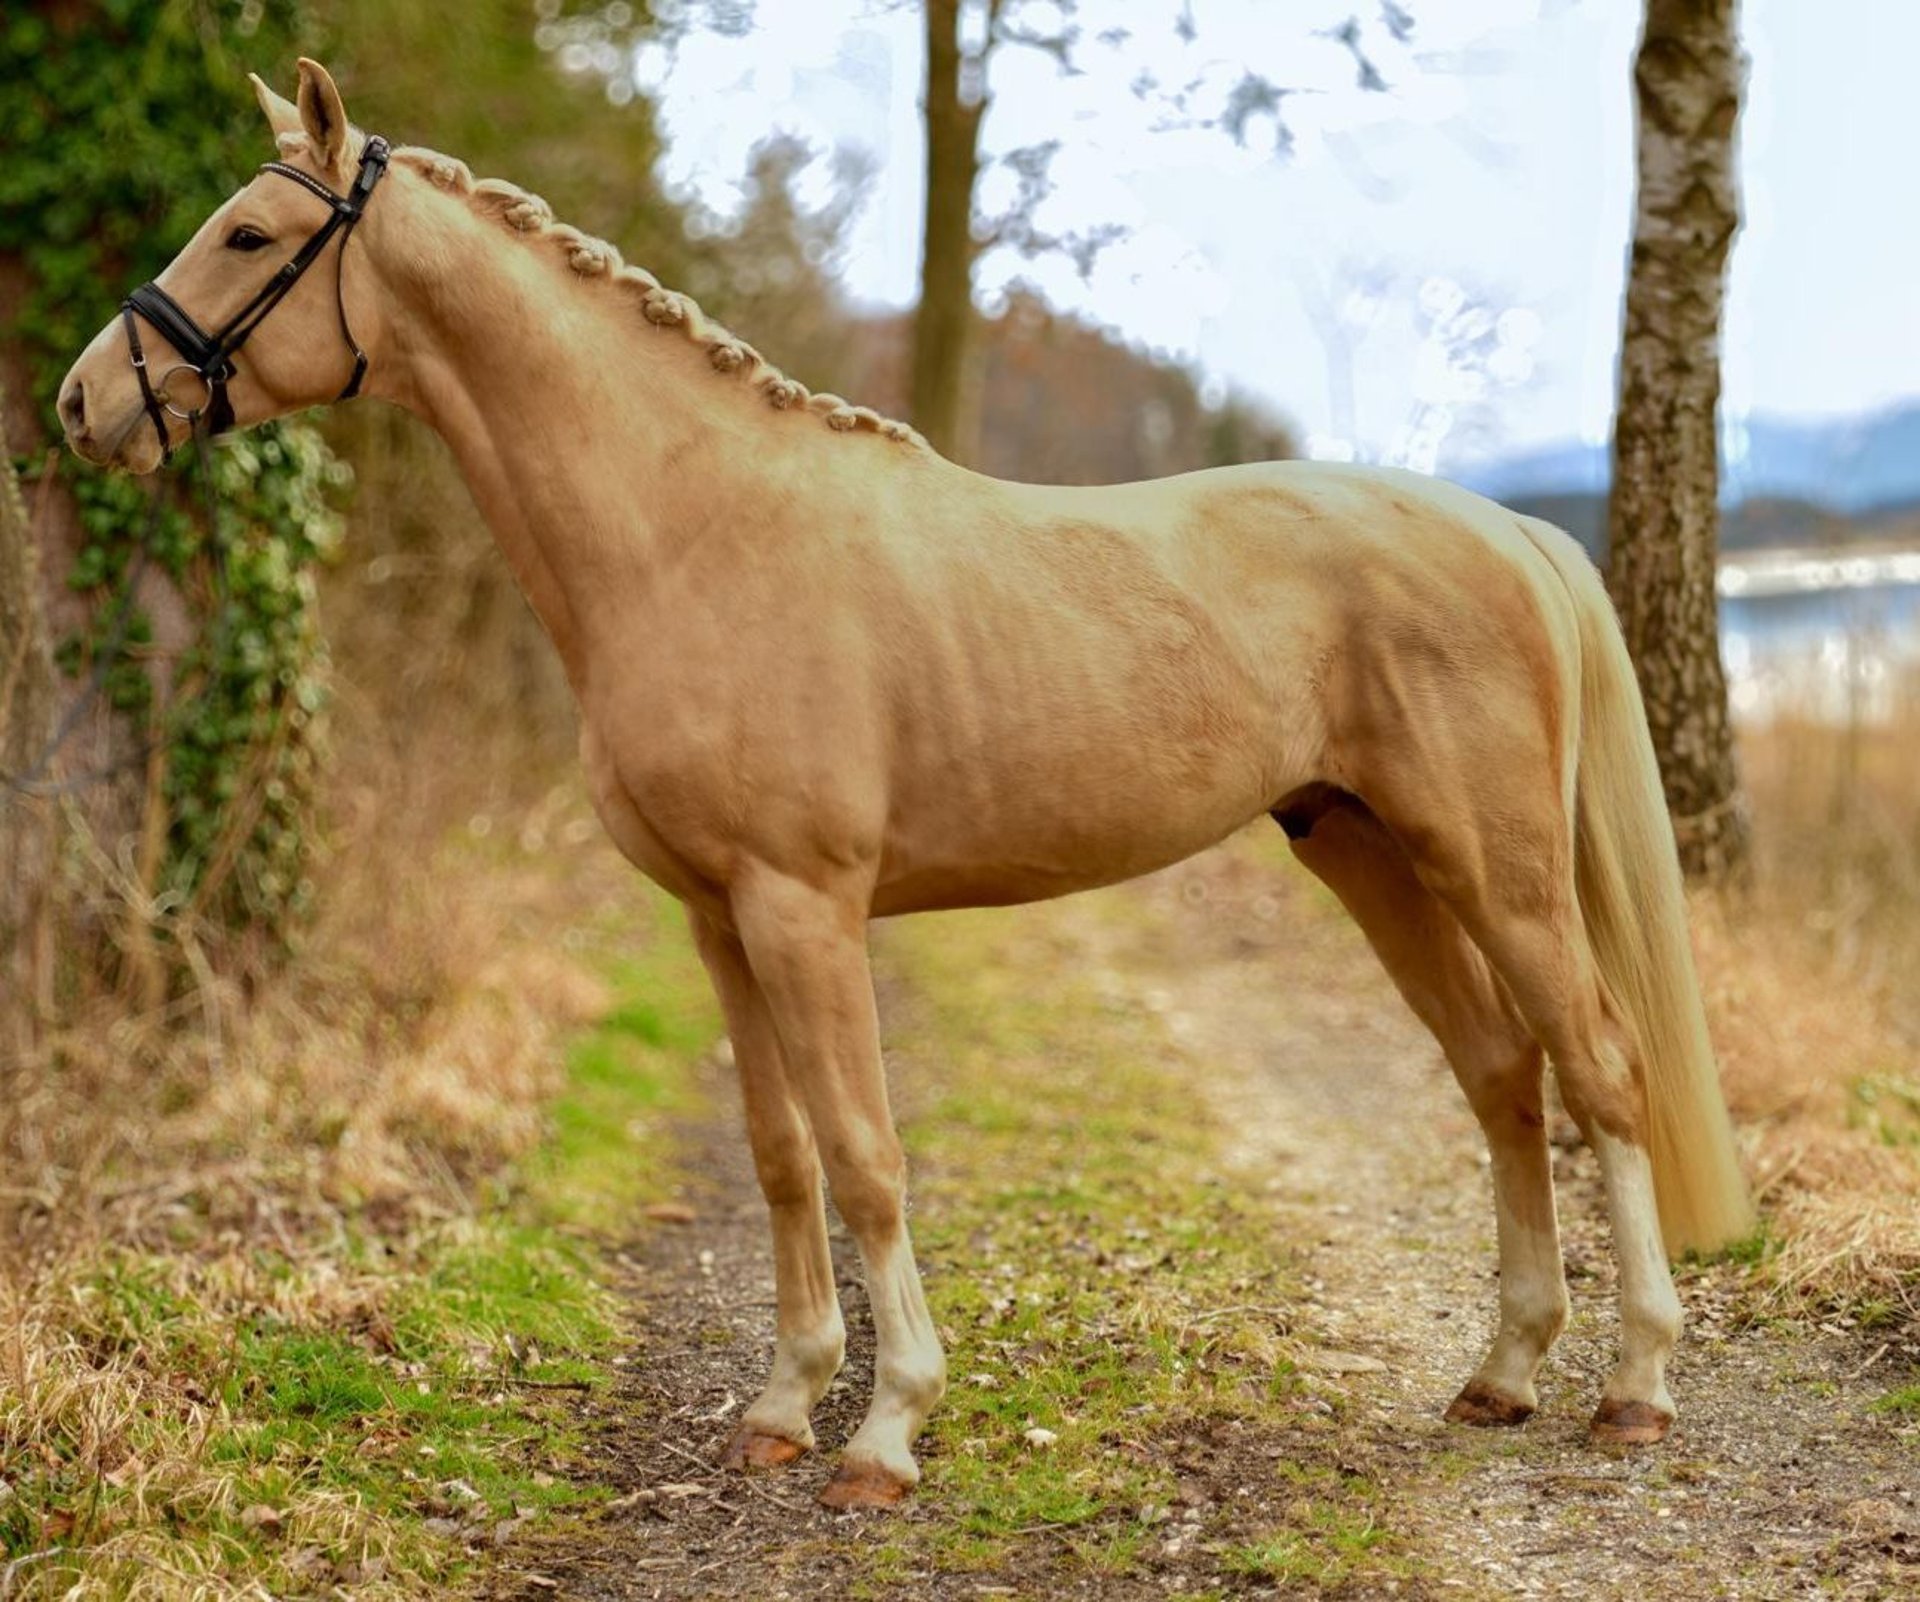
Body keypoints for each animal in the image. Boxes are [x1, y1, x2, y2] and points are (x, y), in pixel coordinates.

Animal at [58, 59, 1753, 1510]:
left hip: (1497, 866)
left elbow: (868, 1156)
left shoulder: (807, 908)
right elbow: (781, 1154)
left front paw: (884, 1430)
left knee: (1599, 1070)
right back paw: (1502, 1372)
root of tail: (1507, 528)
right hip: (1370, 853)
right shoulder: (718, 919)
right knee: (1500, 1072)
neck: (691, 532)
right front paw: (777, 1406)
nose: (85, 405)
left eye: (252, 233)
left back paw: (1635, 1386)